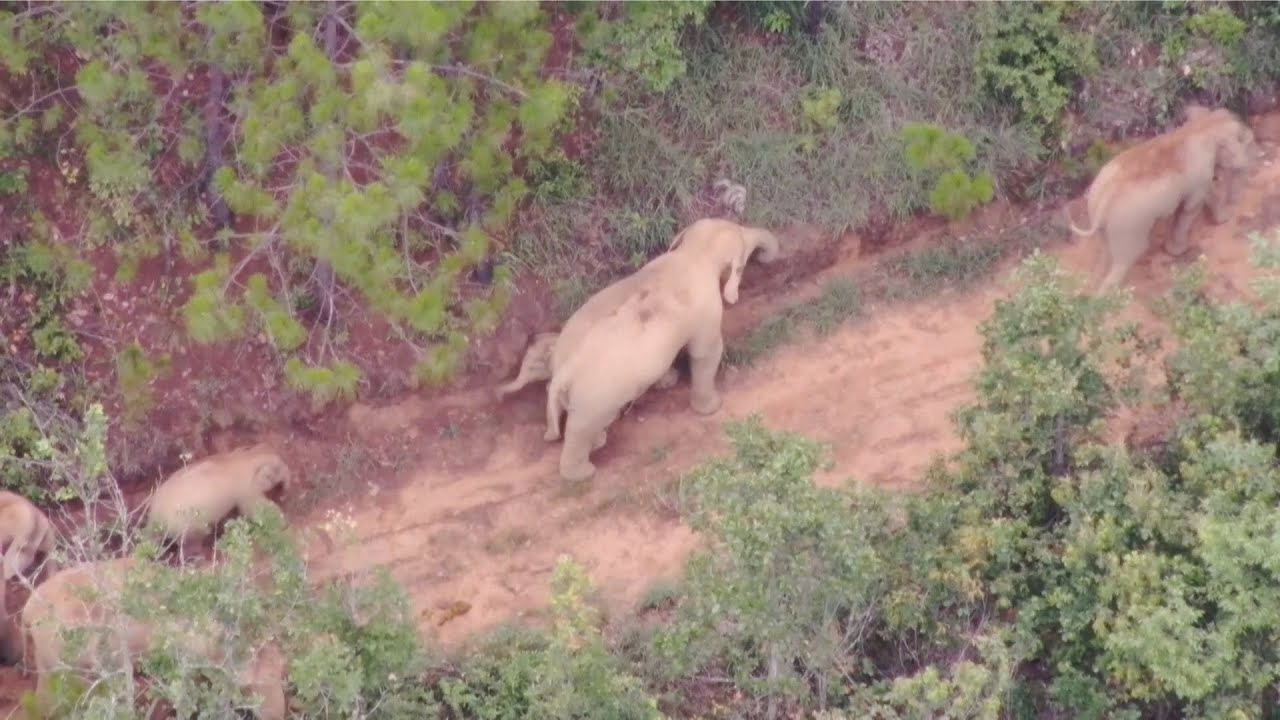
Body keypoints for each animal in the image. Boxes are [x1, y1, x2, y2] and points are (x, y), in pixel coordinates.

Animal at [542, 218, 782, 481]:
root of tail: (563, 372)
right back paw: (583, 473)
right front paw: (713, 408)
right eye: (744, 254)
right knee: (582, 427)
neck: (693, 252)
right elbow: (706, 352)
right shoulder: (706, 310)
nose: (764, 258)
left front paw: (672, 383)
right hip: (595, 397)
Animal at [1067, 105, 1258, 293]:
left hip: (1104, 218)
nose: (1233, 211)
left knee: (1106, 254)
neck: (1203, 125)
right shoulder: (1200, 171)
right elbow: (1191, 207)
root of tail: (1103, 203)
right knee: (1127, 257)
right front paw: (1177, 251)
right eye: (1242, 140)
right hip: (1128, 225)